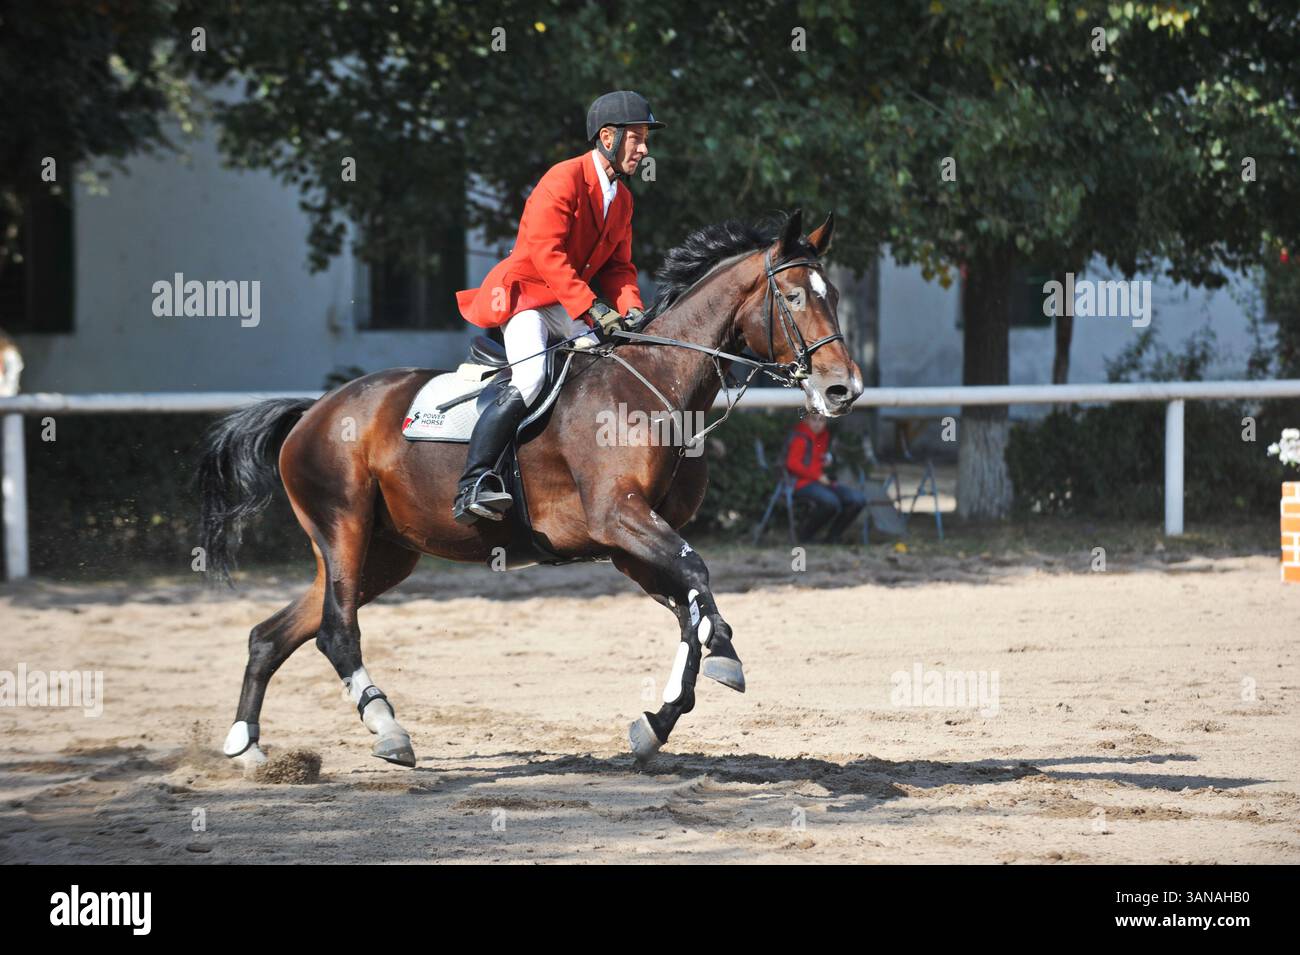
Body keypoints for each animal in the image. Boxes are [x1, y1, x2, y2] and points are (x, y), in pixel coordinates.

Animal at [197, 208, 863, 770]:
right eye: (795, 296)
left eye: (832, 296)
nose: (843, 390)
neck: (656, 385)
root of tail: (312, 411)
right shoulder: (618, 517)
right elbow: (698, 580)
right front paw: (725, 653)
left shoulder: (628, 543)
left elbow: (688, 612)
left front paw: (654, 725)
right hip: (345, 528)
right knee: (337, 630)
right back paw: (387, 729)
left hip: (386, 553)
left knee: (271, 635)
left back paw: (247, 747)